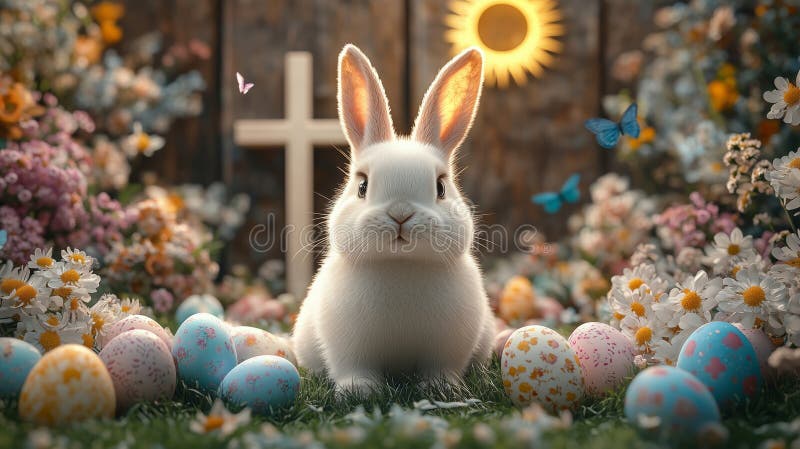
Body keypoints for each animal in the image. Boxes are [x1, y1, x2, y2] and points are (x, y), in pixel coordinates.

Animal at [292, 44, 495, 395]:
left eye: (441, 187)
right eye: (362, 186)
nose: (400, 213)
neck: (400, 264)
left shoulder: (448, 347)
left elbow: (441, 368)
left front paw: (441, 388)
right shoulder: (349, 347)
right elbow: (354, 368)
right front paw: (359, 391)